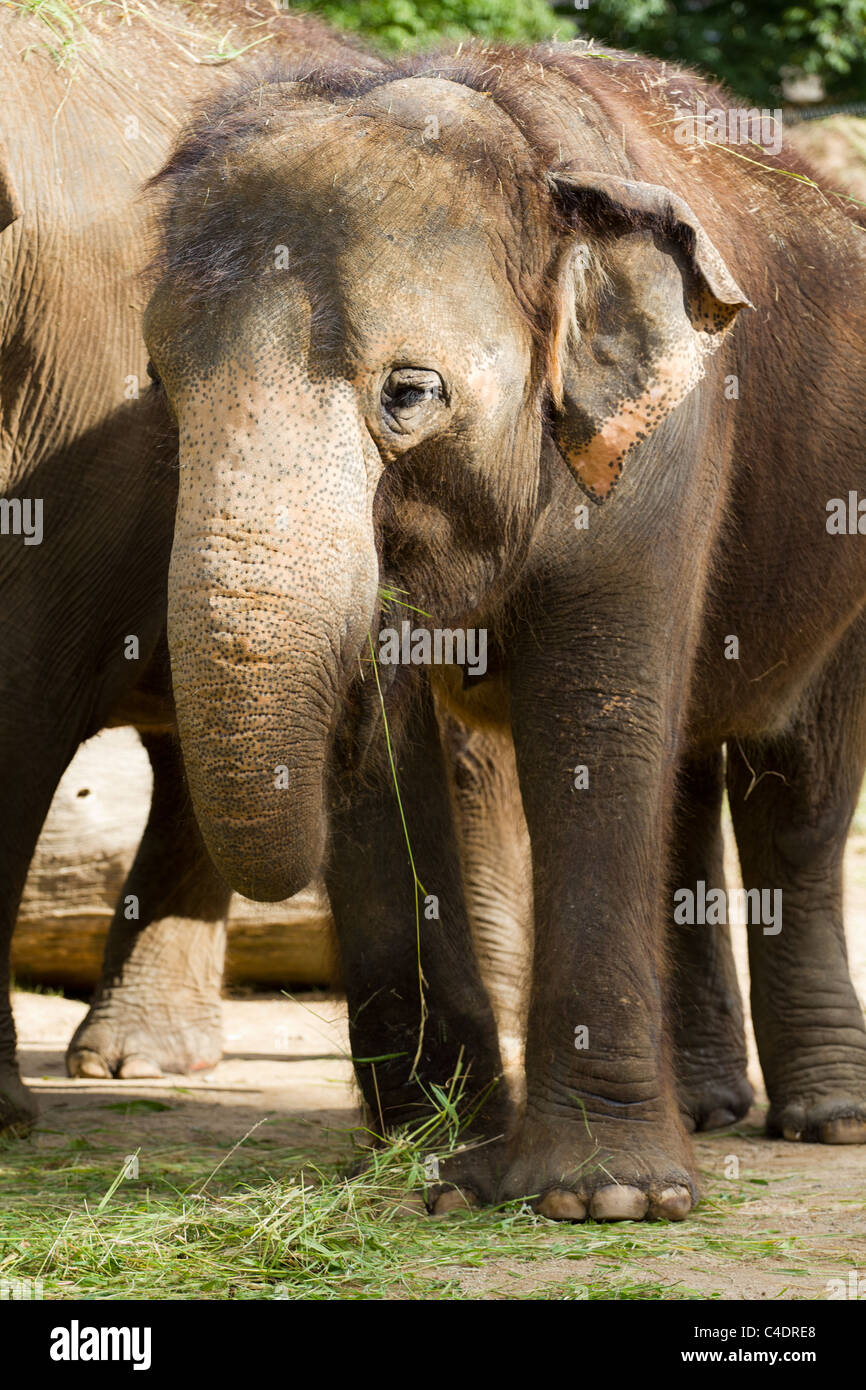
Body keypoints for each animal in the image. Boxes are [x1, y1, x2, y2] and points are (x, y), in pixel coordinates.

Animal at [144, 37, 866, 1221]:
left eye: (408, 392)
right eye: (161, 386)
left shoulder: (666, 440)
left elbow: (592, 718)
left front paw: (599, 1198)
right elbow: (405, 755)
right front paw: (440, 1160)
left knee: (795, 790)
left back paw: (824, 1120)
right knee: (682, 784)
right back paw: (707, 1107)